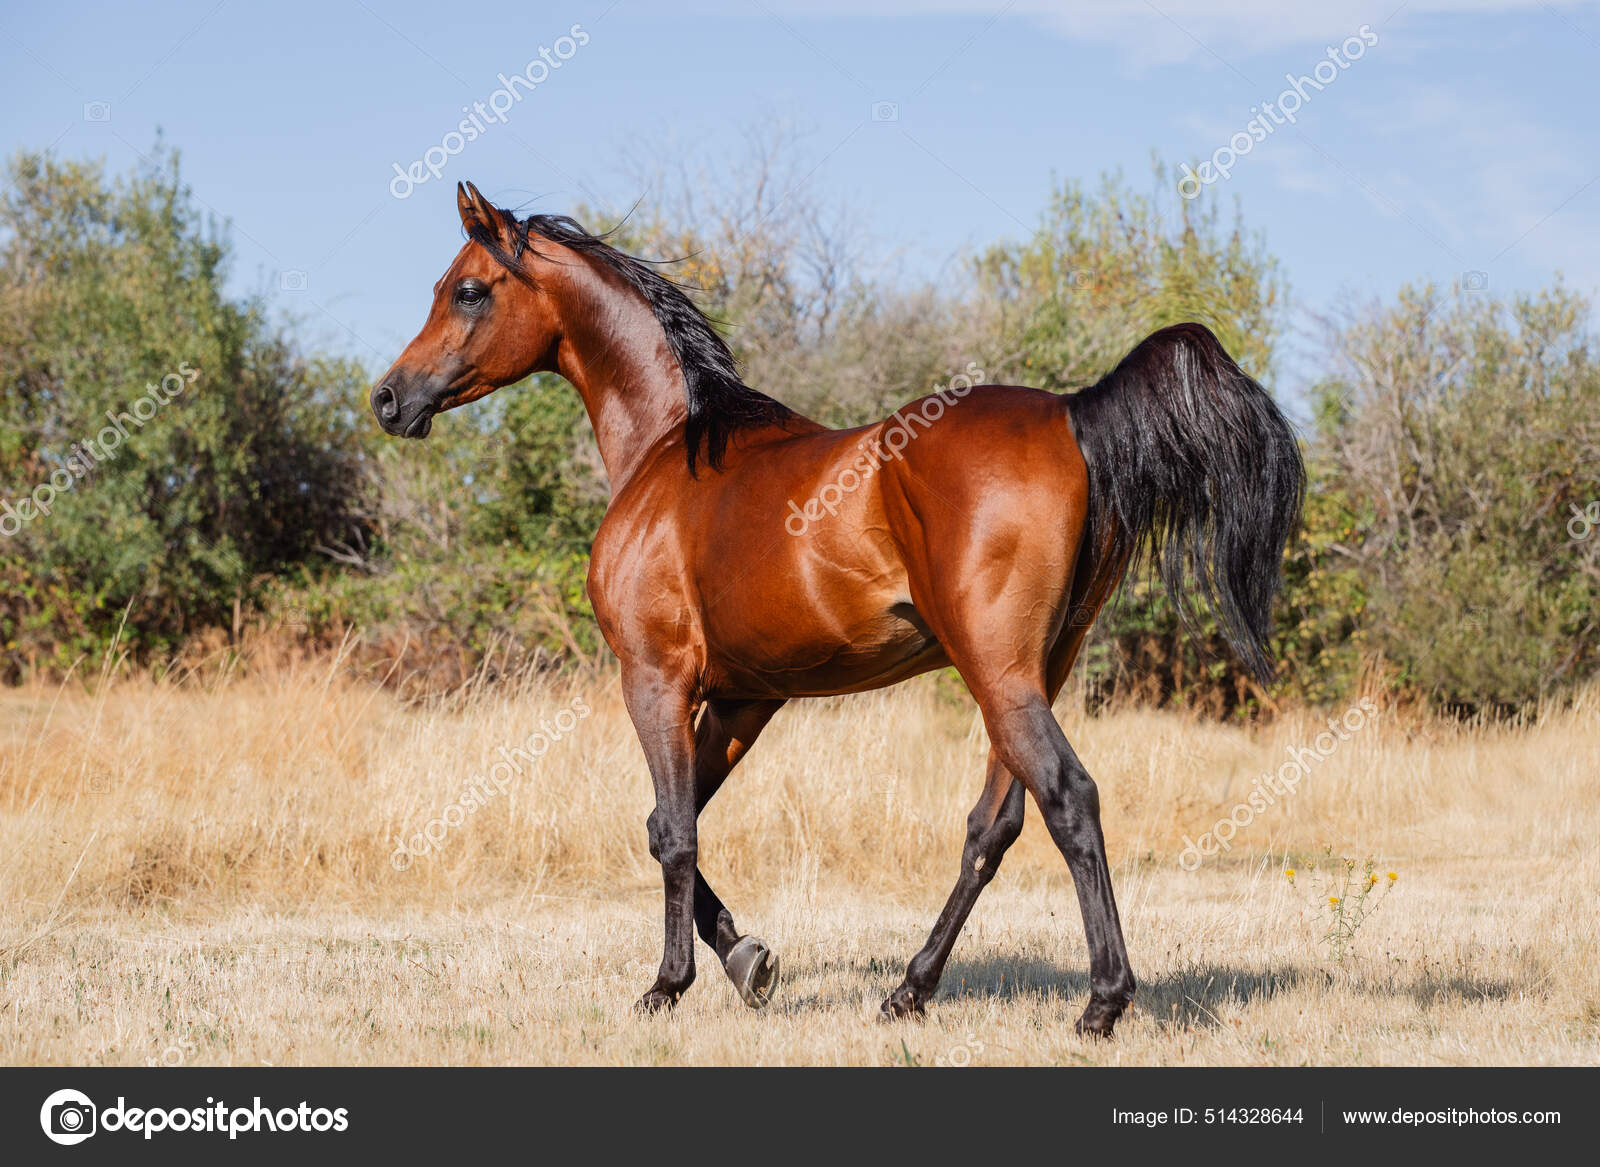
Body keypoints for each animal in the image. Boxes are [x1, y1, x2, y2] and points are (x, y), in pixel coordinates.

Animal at [370, 181, 1304, 1037]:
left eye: (468, 288)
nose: (388, 398)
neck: (672, 450)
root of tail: (1072, 416)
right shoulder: (745, 696)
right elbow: (671, 819)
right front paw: (748, 960)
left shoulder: (656, 678)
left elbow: (672, 830)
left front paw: (668, 985)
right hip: (1035, 670)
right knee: (994, 825)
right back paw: (908, 990)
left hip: (997, 670)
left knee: (1068, 799)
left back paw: (1101, 1002)